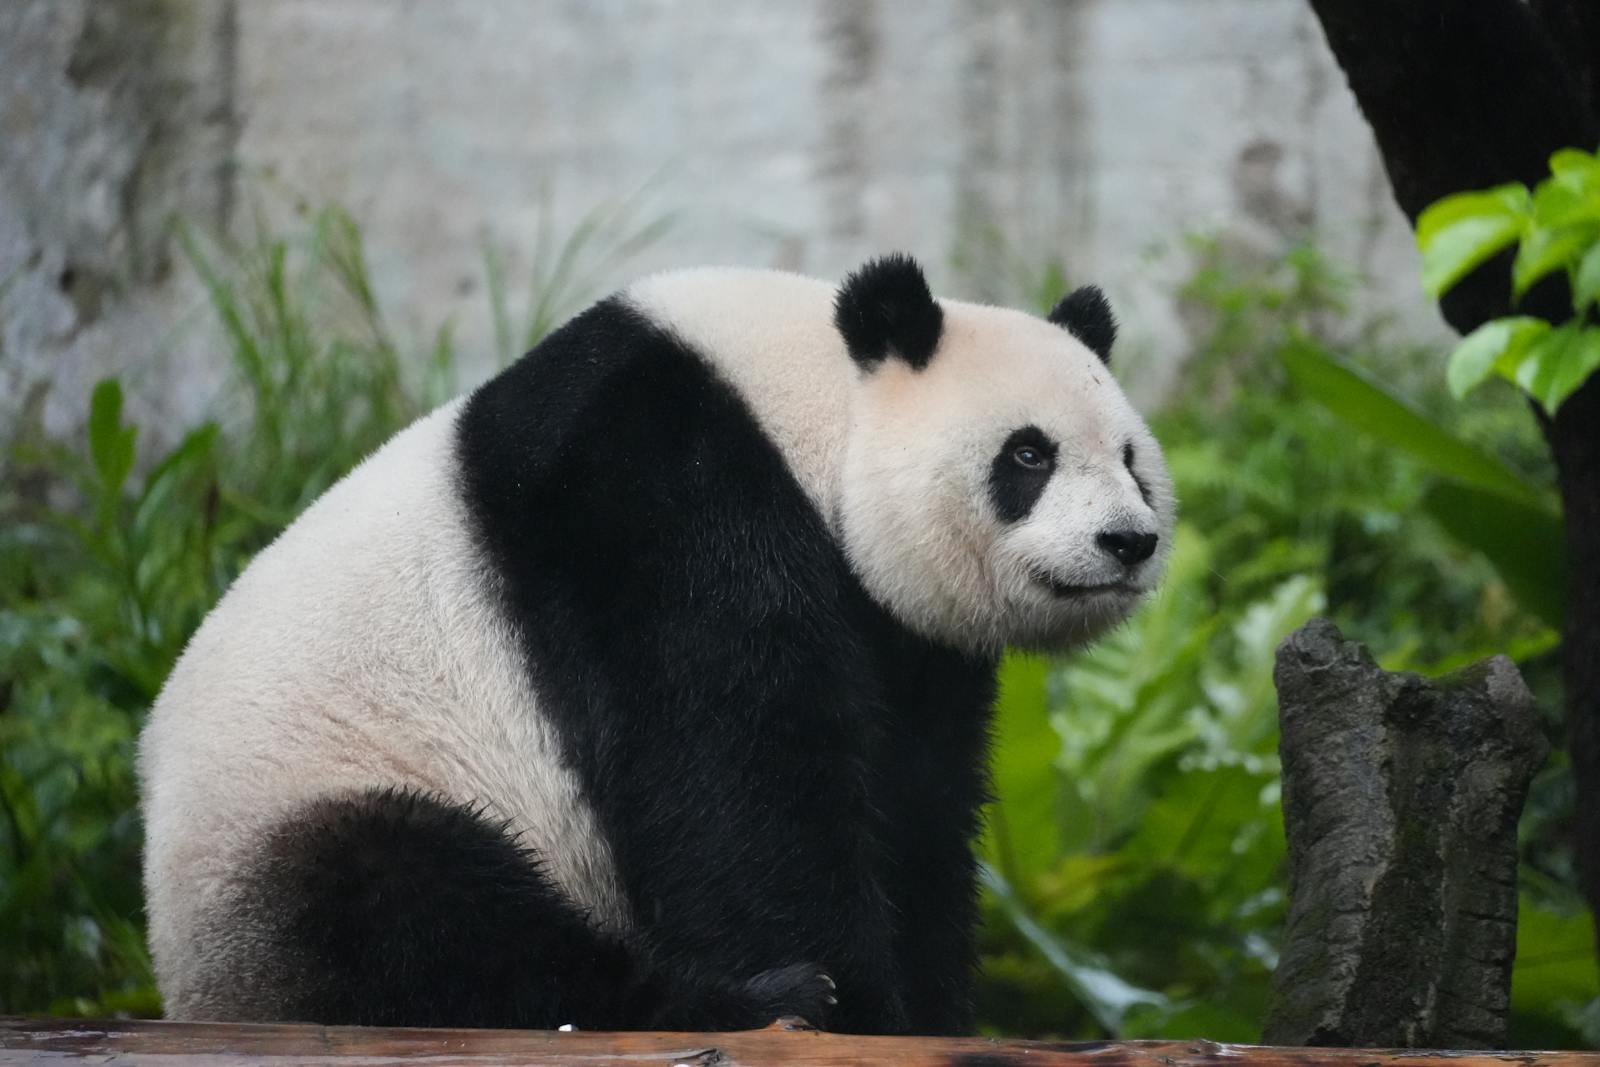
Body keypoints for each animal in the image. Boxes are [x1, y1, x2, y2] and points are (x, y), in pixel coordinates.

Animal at [138, 254, 1173, 1035]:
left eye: (1132, 462)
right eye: (1029, 455)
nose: (1128, 541)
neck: (801, 398)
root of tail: (198, 993)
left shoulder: (905, 634)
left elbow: (914, 801)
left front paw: (927, 1011)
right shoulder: (653, 493)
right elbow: (733, 768)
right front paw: (853, 1000)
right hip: (295, 807)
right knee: (409, 910)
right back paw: (738, 1000)